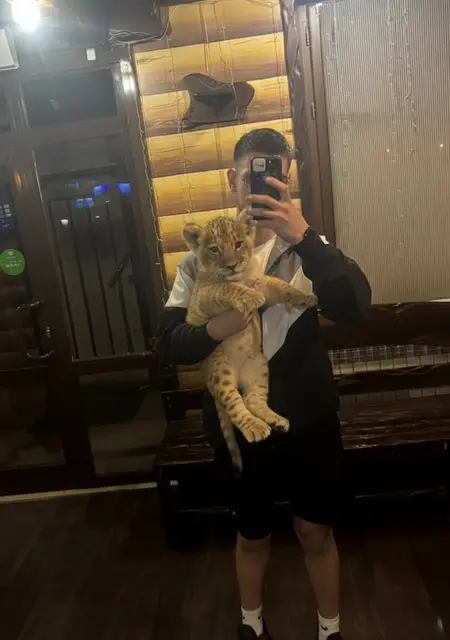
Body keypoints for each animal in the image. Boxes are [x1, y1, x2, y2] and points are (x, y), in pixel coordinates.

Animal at [183, 212, 317, 472]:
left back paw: (277, 421)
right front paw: (249, 296)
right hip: (220, 373)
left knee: (251, 399)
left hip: (259, 368)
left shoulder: (264, 282)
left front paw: (306, 297)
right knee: (235, 405)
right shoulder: (203, 298)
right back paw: (256, 428)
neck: (242, 275)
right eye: (214, 249)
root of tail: (238, 375)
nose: (231, 265)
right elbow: (228, 287)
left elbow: (282, 286)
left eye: (237, 244)